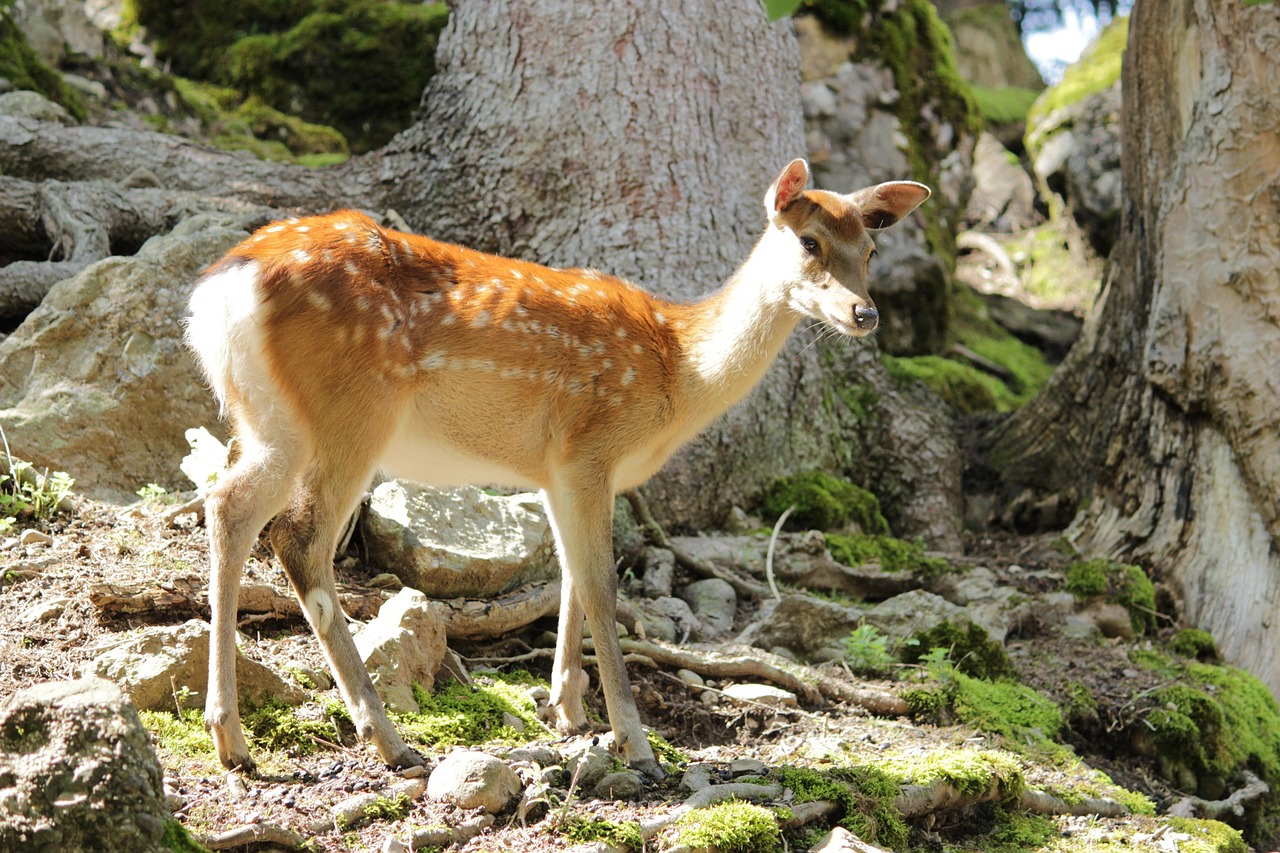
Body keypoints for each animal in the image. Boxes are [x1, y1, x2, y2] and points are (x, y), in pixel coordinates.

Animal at [184, 158, 929, 779]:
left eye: (868, 250)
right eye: (809, 242)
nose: (865, 312)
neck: (677, 369)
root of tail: (219, 295)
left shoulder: (554, 469)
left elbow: (568, 574)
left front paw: (569, 709)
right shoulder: (588, 449)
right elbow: (601, 586)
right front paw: (634, 741)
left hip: (270, 422)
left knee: (227, 506)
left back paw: (231, 738)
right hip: (351, 414)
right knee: (298, 537)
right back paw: (389, 740)